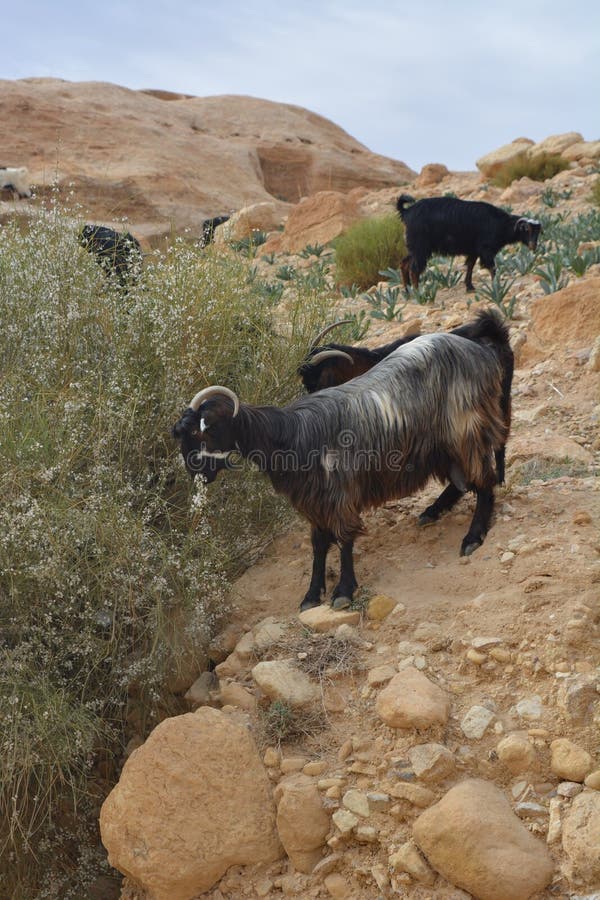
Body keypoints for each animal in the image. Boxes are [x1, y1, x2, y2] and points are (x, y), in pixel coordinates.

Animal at [172, 328, 508, 611]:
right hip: (441, 446)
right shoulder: (313, 500)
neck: (292, 434)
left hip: (465, 429)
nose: (196, 471)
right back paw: (434, 512)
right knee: (464, 481)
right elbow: (319, 545)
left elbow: (345, 539)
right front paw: (311, 595)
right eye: (183, 435)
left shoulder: (340, 492)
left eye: (203, 431)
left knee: (485, 480)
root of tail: (480, 353)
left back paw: (473, 537)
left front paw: (344, 591)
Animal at [397, 194, 541, 292]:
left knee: (404, 263)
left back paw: (408, 291)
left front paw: (470, 286)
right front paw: (496, 285)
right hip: (420, 246)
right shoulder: (486, 250)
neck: (500, 224)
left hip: (415, 247)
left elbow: (470, 266)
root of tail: (407, 211)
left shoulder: (474, 250)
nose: (533, 246)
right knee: (414, 268)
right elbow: (492, 267)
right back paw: (417, 292)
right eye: (526, 230)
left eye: (538, 232)